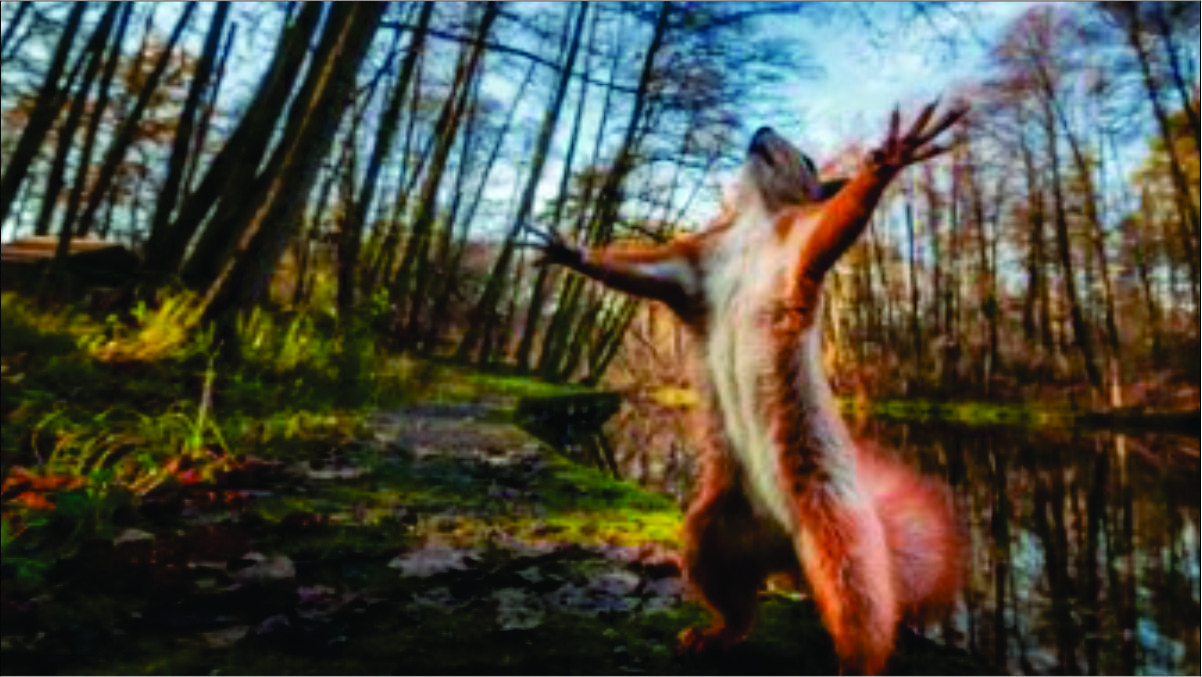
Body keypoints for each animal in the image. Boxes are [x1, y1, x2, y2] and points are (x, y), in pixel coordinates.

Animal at [527, 100, 968, 674]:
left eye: (807, 158)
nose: (761, 129)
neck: (754, 224)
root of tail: (787, 552)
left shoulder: (801, 247)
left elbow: (837, 224)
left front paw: (888, 160)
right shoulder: (693, 265)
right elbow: (641, 274)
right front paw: (570, 251)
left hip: (842, 544)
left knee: (862, 618)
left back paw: (850, 662)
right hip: (713, 532)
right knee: (737, 605)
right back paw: (713, 636)